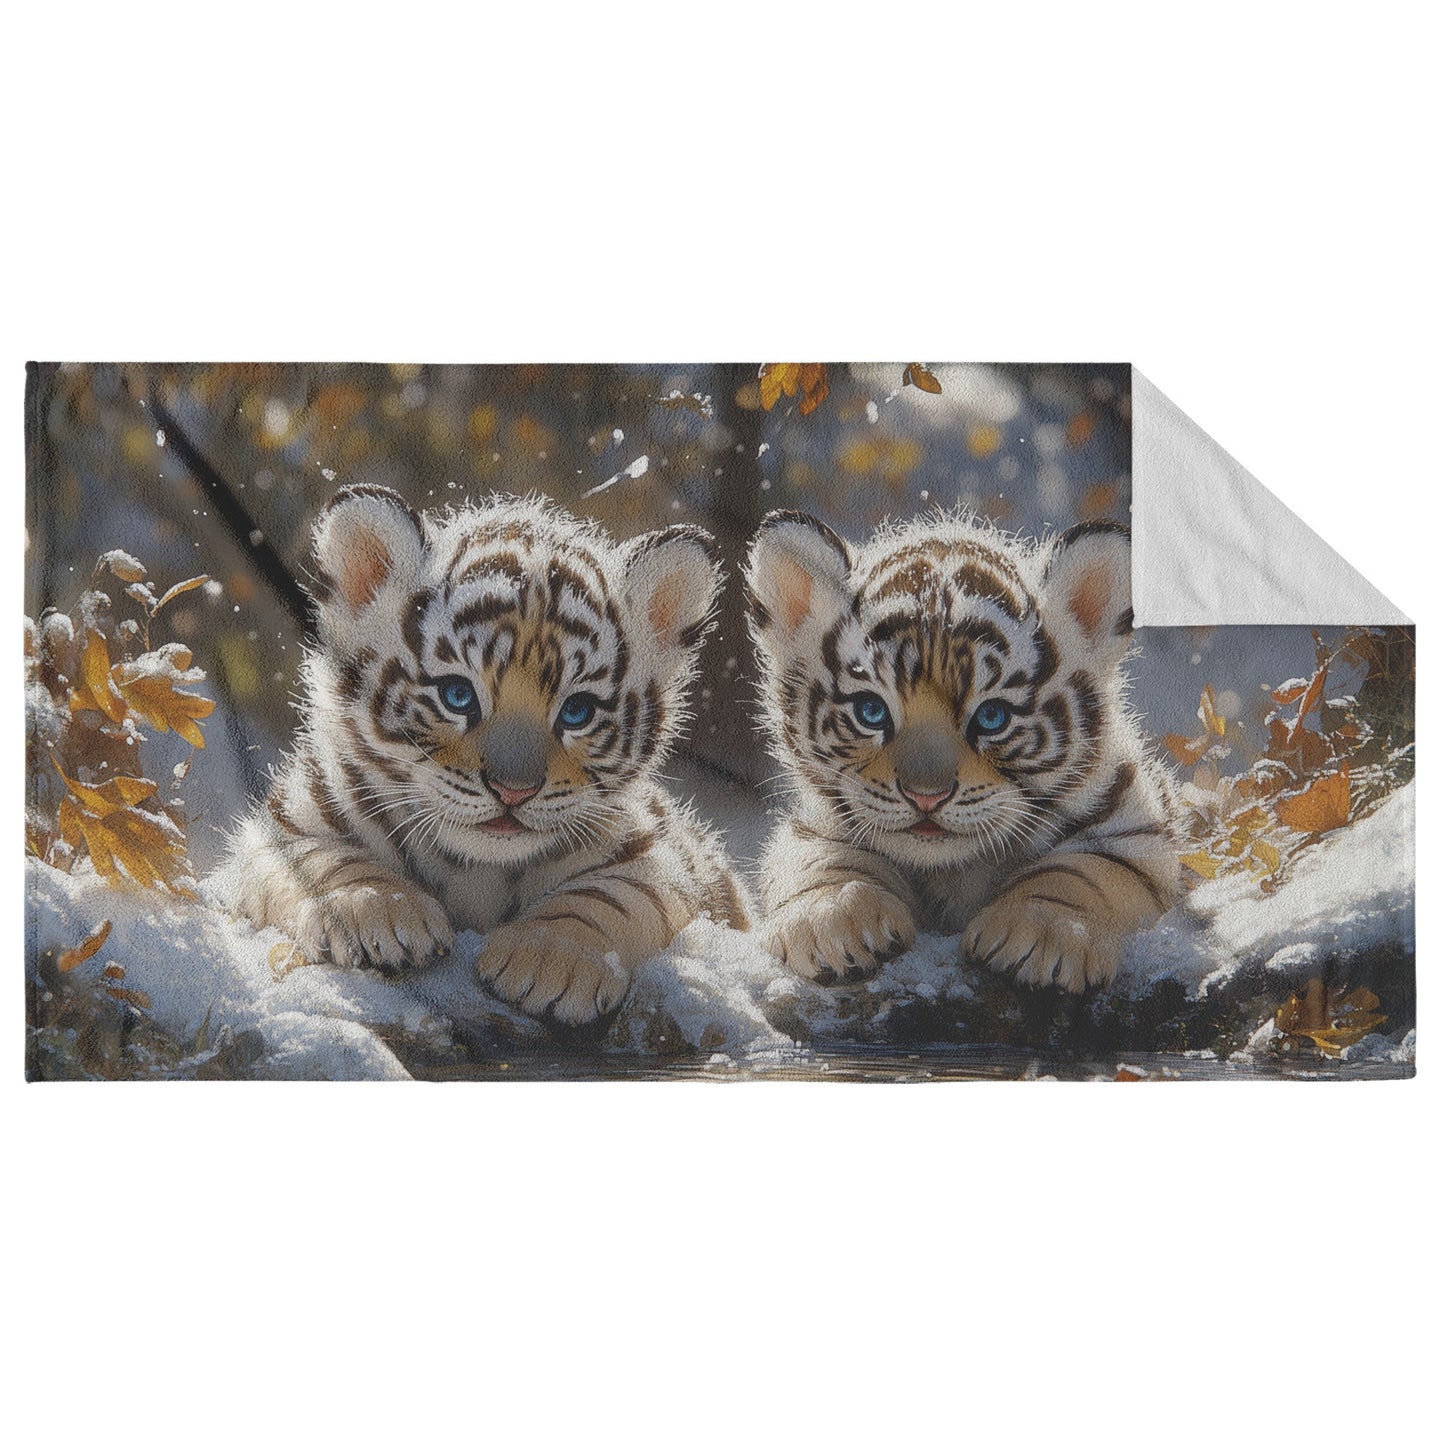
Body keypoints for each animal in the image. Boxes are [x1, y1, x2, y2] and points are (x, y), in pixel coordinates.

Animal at [211, 483, 750, 1025]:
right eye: (457, 695)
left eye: (577, 711)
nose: (513, 791)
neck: (475, 869)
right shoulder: (273, 832)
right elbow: (319, 859)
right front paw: (374, 910)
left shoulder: (662, 856)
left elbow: (611, 894)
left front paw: (549, 958)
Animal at [744, 509, 1182, 994]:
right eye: (871, 711)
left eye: (992, 717)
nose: (926, 797)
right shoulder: (817, 824)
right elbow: (825, 860)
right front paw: (834, 919)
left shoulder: (1135, 828)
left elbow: (1081, 869)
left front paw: (1045, 933)